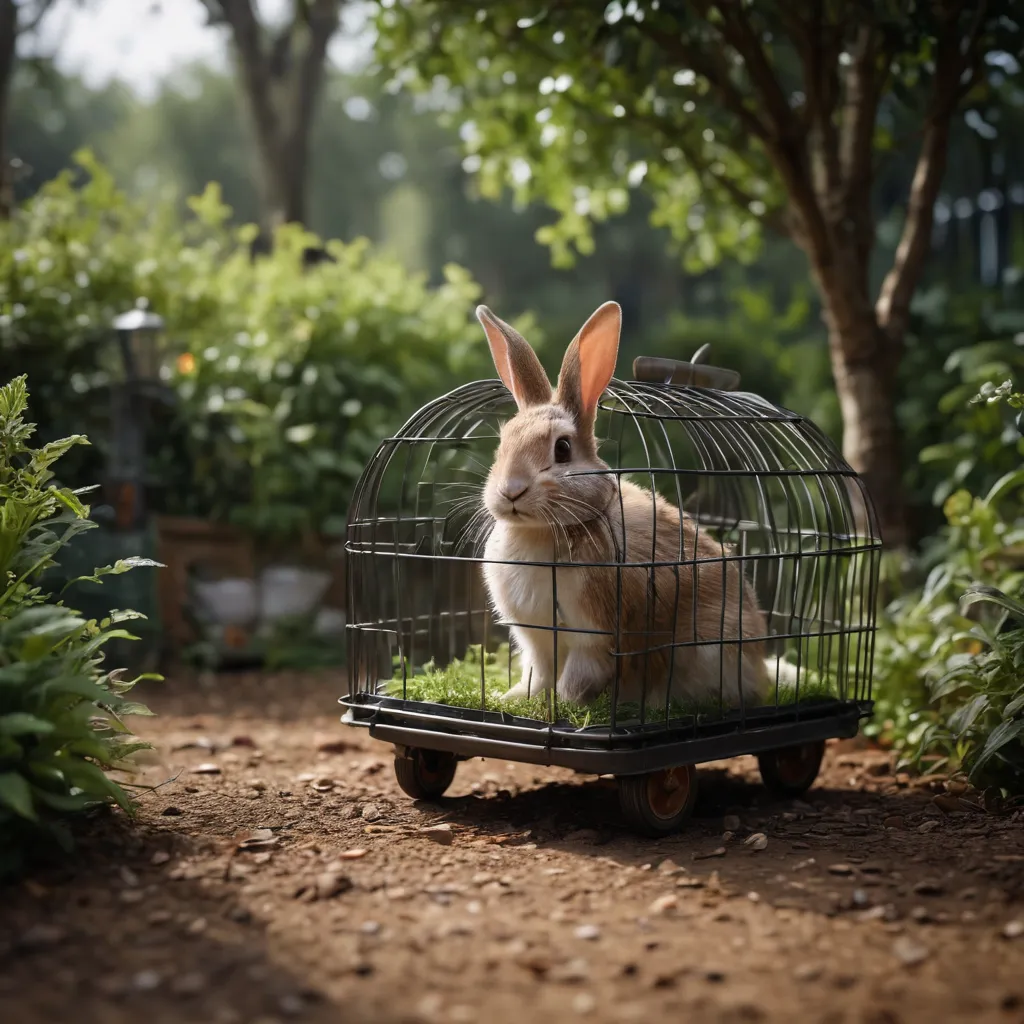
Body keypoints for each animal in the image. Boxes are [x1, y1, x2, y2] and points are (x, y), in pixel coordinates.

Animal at [475, 299, 777, 711]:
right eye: (502, 443)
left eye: (562, 449)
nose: (510, 491)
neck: (543, 530)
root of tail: (759, 665)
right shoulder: (535, 637)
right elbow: (537, 676)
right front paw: (514, 699)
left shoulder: (595, 636)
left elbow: (575, 680)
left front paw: (568, 708)